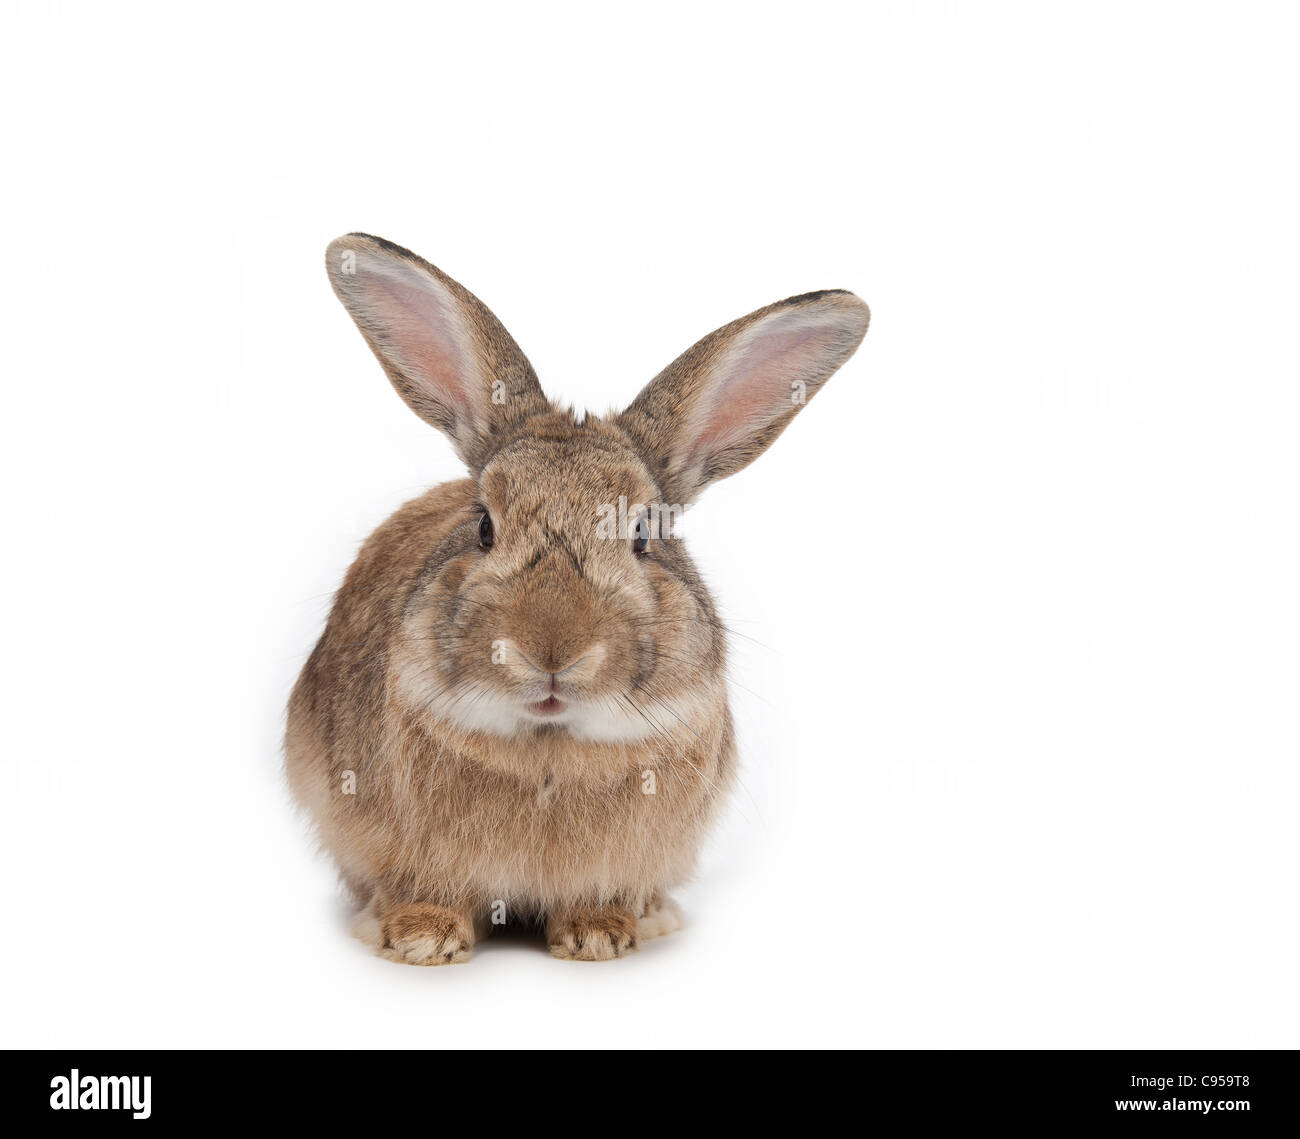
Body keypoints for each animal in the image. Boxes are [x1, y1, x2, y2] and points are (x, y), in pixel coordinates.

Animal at [286, 233, 870, 964]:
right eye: (484, 525)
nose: (551, 651)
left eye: (644, 534)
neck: (550, 743)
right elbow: (420, 886)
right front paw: (421, 938)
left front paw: (600, 935)